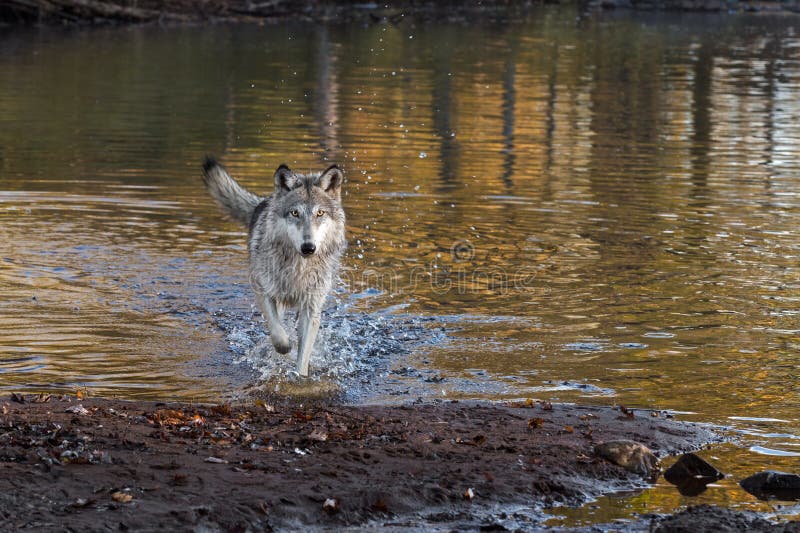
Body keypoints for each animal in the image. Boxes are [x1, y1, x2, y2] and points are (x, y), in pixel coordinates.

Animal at [201, 157, 346, 377]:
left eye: (320, 213)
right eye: (295, 213)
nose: (308, 247)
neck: (298, 268)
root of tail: (264, 200)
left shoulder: (311, 308)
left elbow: (303, 355)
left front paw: (299, 375)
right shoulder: (264, 292)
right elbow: (278, 335)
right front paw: (285, 349)